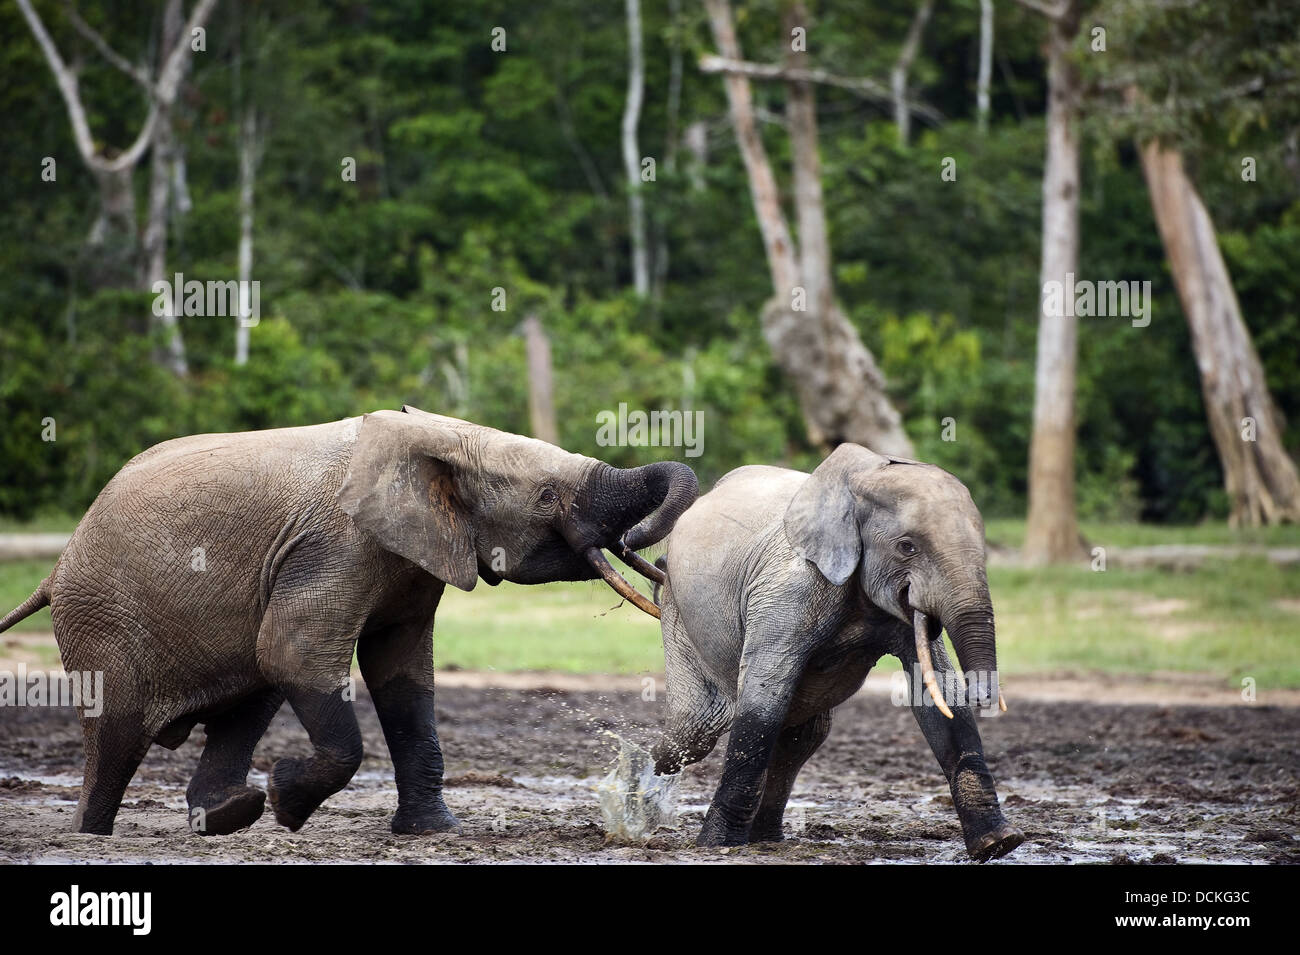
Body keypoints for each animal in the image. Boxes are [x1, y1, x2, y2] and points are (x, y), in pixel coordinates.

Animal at [0, 405, 696, 837]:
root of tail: (57, 563)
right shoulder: (336, 544)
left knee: (251, 695)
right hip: (101, 617)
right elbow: (298, 652)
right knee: (119, 731)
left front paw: (433, 833)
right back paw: (98, 833)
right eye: (548, 497)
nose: (651, 552)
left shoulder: (412, 557)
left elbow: (401, 674)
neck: (440, 438)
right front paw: (288, 801)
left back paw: (225, 817)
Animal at [646, 443, 1024, 861]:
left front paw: (999, 844)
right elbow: (763, 696)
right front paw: (716, 846)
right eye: (907, 547)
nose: (987, 696)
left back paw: (765, 839)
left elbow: (939, 699)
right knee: (695, 730)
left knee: (803, 735)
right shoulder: (792, 588)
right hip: (677, 610)